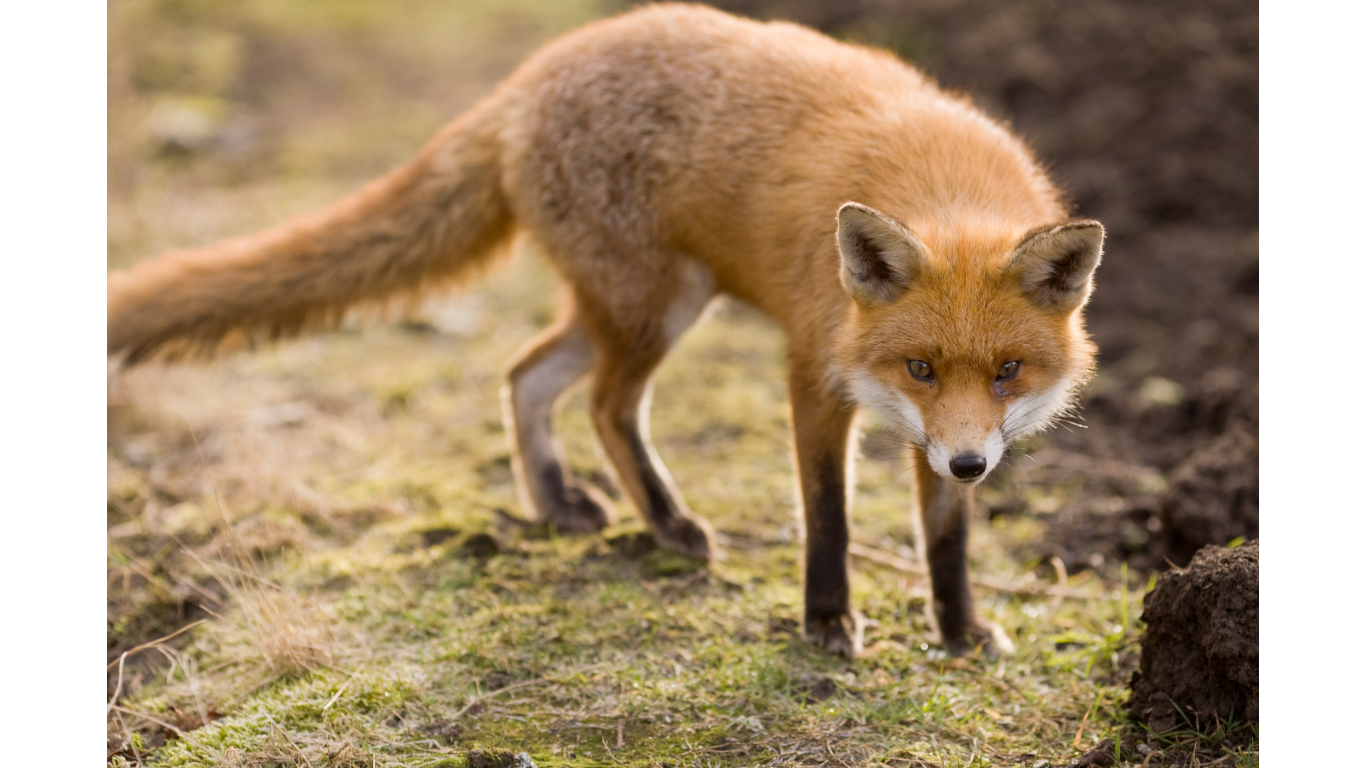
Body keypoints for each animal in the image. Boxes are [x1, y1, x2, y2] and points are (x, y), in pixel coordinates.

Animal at [108, 4, 1103, 659]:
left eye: (1009, 371)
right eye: (922, 365)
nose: (970, 464)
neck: (944, 190)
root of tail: (529, 77)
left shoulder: (930, 434)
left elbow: (947, 538)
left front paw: (960, 628)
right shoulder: (818, 371)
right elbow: (827, 511)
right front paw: (826, 618)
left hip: (627, 305)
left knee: (524, 374)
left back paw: (556, 501)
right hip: (654, 307)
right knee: (602, 404)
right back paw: (665, 522)